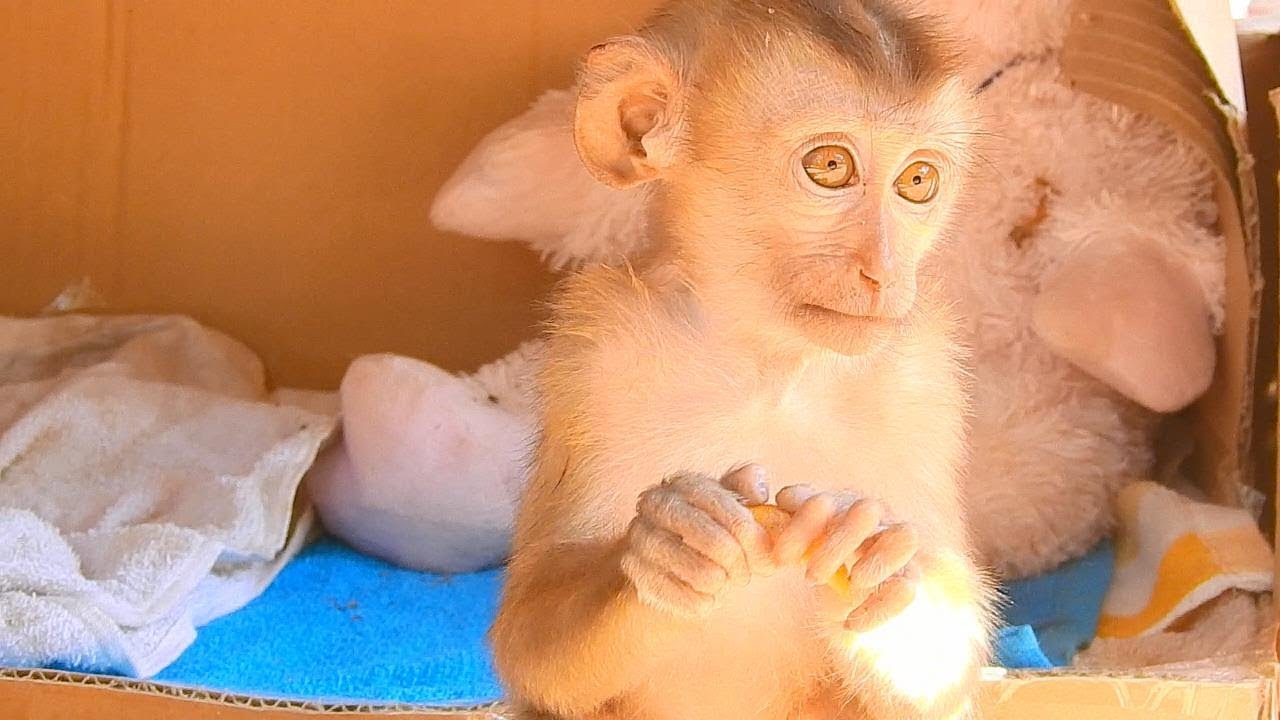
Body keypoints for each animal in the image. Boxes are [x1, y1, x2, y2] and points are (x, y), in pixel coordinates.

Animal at [489, 1, 992, 719]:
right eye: (831, 166)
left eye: (918, 181)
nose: (886, 271)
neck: (769, 364)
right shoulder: (594, 350)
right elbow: (529, 630)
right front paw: (666, 552)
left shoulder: (925, 377)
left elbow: (944, 677)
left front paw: (886, 580)